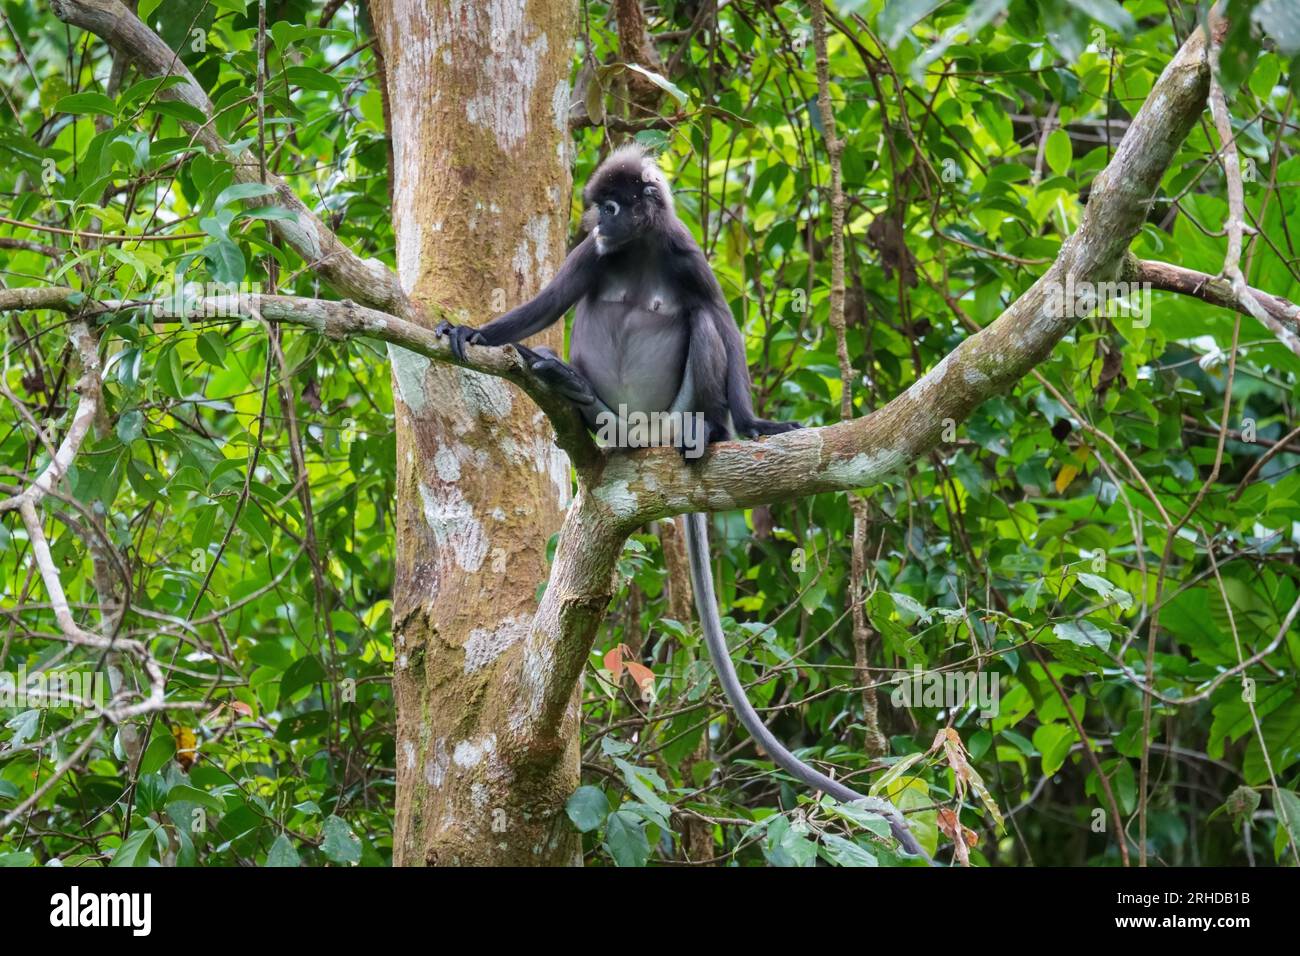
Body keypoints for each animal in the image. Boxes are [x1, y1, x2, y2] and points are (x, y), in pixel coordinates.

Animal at [438, 145, 930, 862]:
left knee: (702, 325)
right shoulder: (592, 257)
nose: (600, 225)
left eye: (613, 206)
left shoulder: (685, 253)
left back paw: (710, 434)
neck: (638, 251)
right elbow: (551, 302)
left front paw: (753, 423)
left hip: (681, 404)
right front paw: (474, 331)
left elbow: (719, 315)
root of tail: (648, 434)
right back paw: (583, 401)